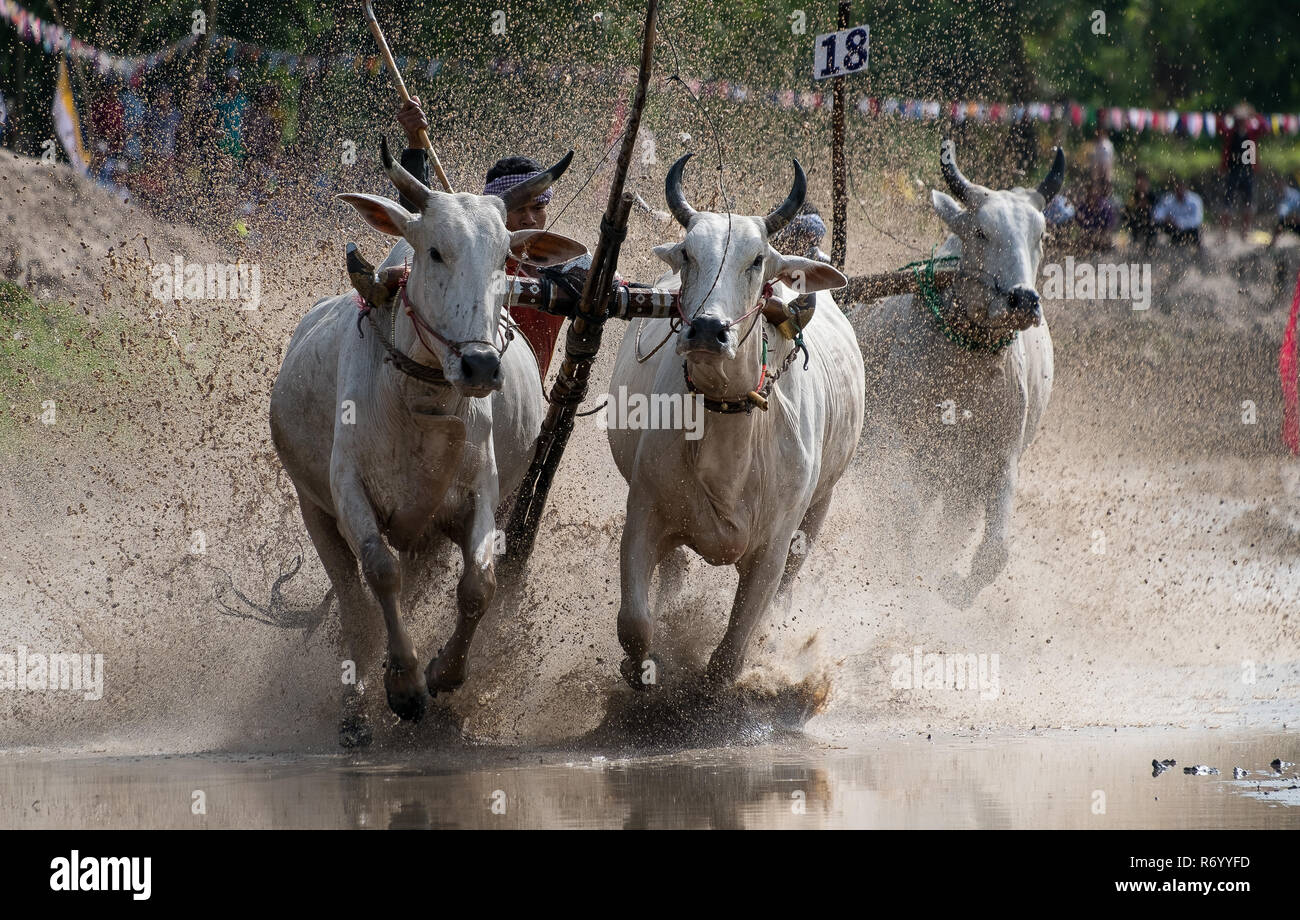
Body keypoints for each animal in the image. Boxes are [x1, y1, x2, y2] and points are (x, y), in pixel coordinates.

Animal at [269, 140, 585, 745]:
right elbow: (380, 576)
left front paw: (443, 672)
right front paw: (404, 686)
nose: (481, 364)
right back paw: (355, 712)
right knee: (354, 610)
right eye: (435, 251)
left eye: (505, 261)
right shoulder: (348, 493)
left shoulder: (478, 497)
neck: (421, 399)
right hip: (313, 508)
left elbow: (480, 585)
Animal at [606, 153, 865, 689]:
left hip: (822, 503)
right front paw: (641, 670)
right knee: (673, 571)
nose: (708, 330)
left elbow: (730, 655)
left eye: (757, 260)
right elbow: (635, 624)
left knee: (792, 576)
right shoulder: (643, 511)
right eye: (688, 253)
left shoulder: (772, 548)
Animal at [849, 140, 1065, 609]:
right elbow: (902, 514)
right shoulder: (889, 441)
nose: (1024, 300)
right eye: (981, 232)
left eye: (1039, 236)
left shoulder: (998, 461)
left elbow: (994, 550)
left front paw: (953, 587)